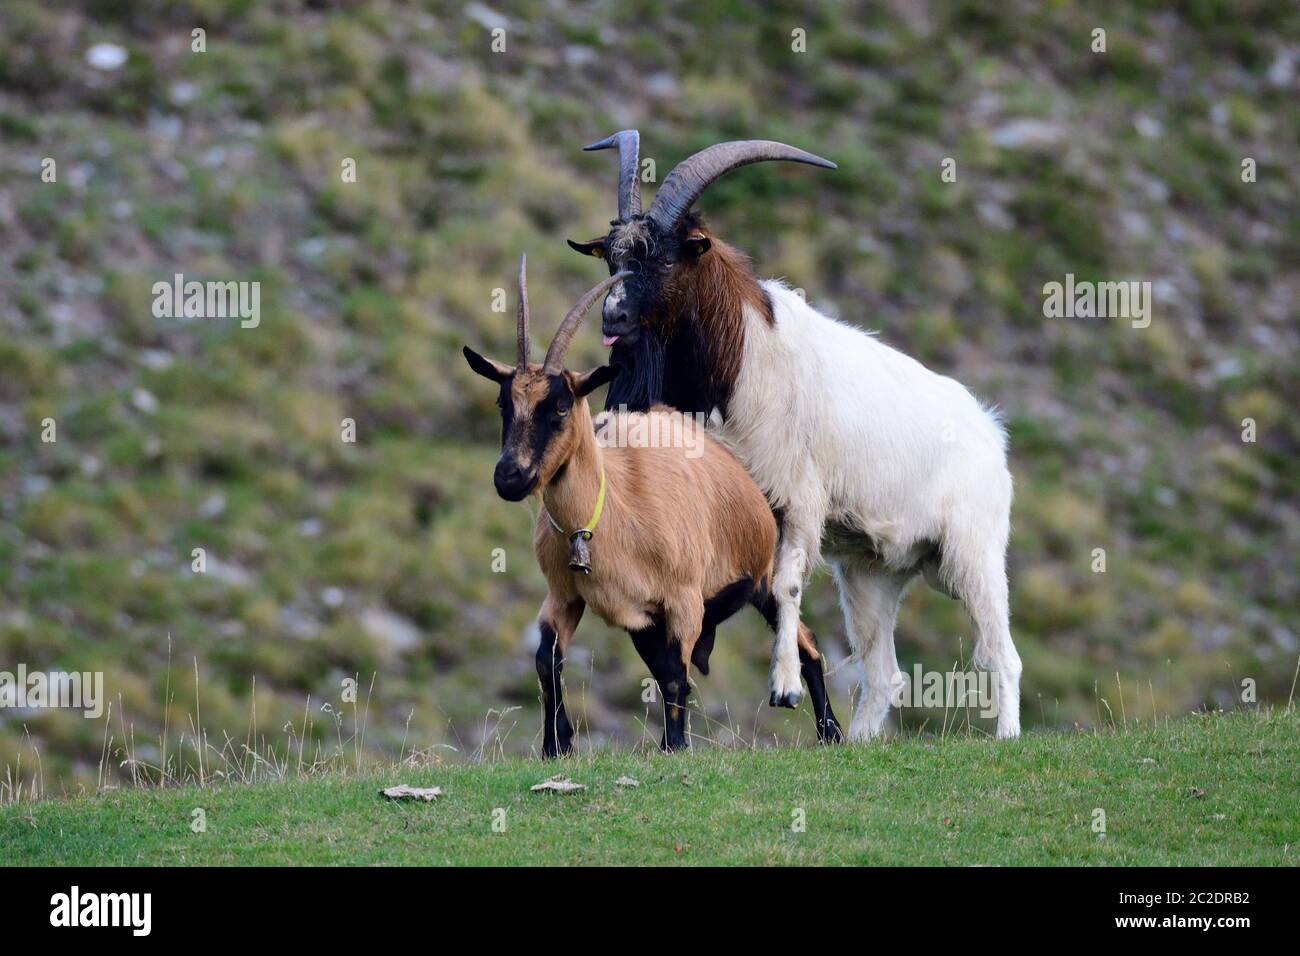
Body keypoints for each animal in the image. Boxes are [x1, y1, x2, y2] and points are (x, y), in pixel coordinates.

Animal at [463, 255, 843, 756]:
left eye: (561, 405)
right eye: (503, 402)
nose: (510, 476)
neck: (611, 512)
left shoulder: (683, 600)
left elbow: (678, 677)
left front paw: (674, 746)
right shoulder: (570, 597)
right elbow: (549, 658)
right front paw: (556, 745)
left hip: (761, 581)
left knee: (807, 644)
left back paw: (831, 732)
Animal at [570, 131, 1023, 739]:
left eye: (665, 258)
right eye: (614, 259)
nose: (612, 319)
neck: (742, 360)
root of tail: (990, 433)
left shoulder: (799, 500)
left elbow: (785, 585)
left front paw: (783, 688)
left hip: (972, 553)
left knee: (1001, 652)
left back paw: (1008, 736)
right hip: (871, 571)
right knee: (884, 671)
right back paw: (859, 741)